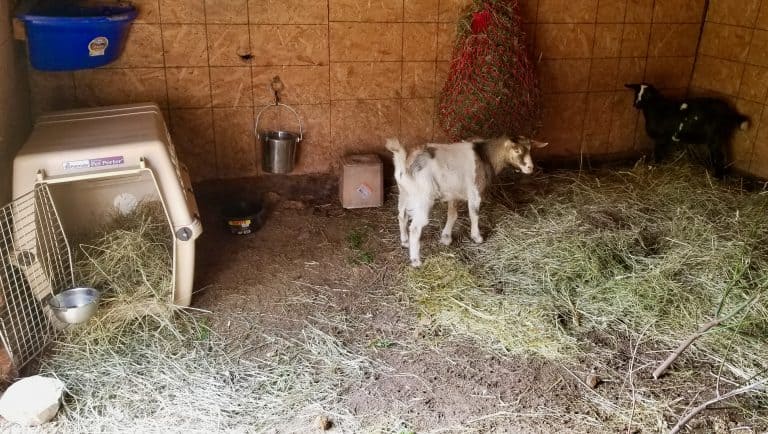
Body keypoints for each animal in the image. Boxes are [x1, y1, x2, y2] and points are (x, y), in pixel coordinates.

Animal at [386, 136, 547, 267]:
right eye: (516, 150)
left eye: (530, 149)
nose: (530, 168)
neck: (484, 156)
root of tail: (405, 165)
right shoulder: (475, 191)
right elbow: (474, 214)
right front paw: (477, 237)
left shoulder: (453, 193)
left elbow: (452, 215)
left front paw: (446, 238)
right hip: (422, 198)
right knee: (415, 227)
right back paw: (415, 260)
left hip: (404, 193)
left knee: (401, 216)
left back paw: (405, 242)